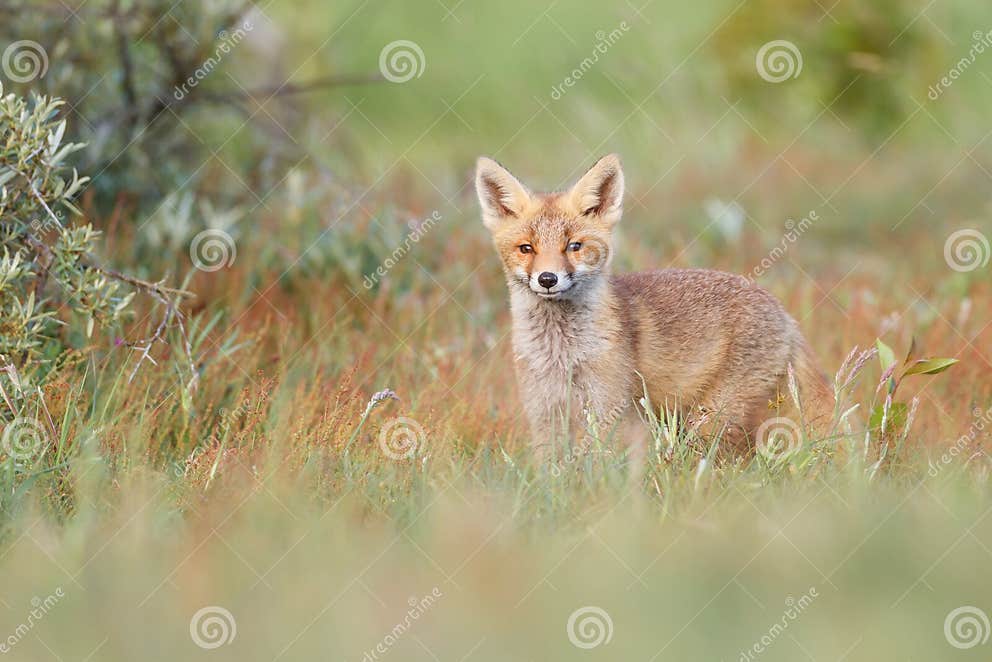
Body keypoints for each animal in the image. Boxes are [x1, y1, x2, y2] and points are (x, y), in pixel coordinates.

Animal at [474, 153, 835, 461]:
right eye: (526, 248)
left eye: (573, 246)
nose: (548, 278)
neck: (563, 353)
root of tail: (782, 311)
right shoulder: (544, 412)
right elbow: (551, 470)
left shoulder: (608, 409)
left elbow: (595, 462)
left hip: (713, 416)